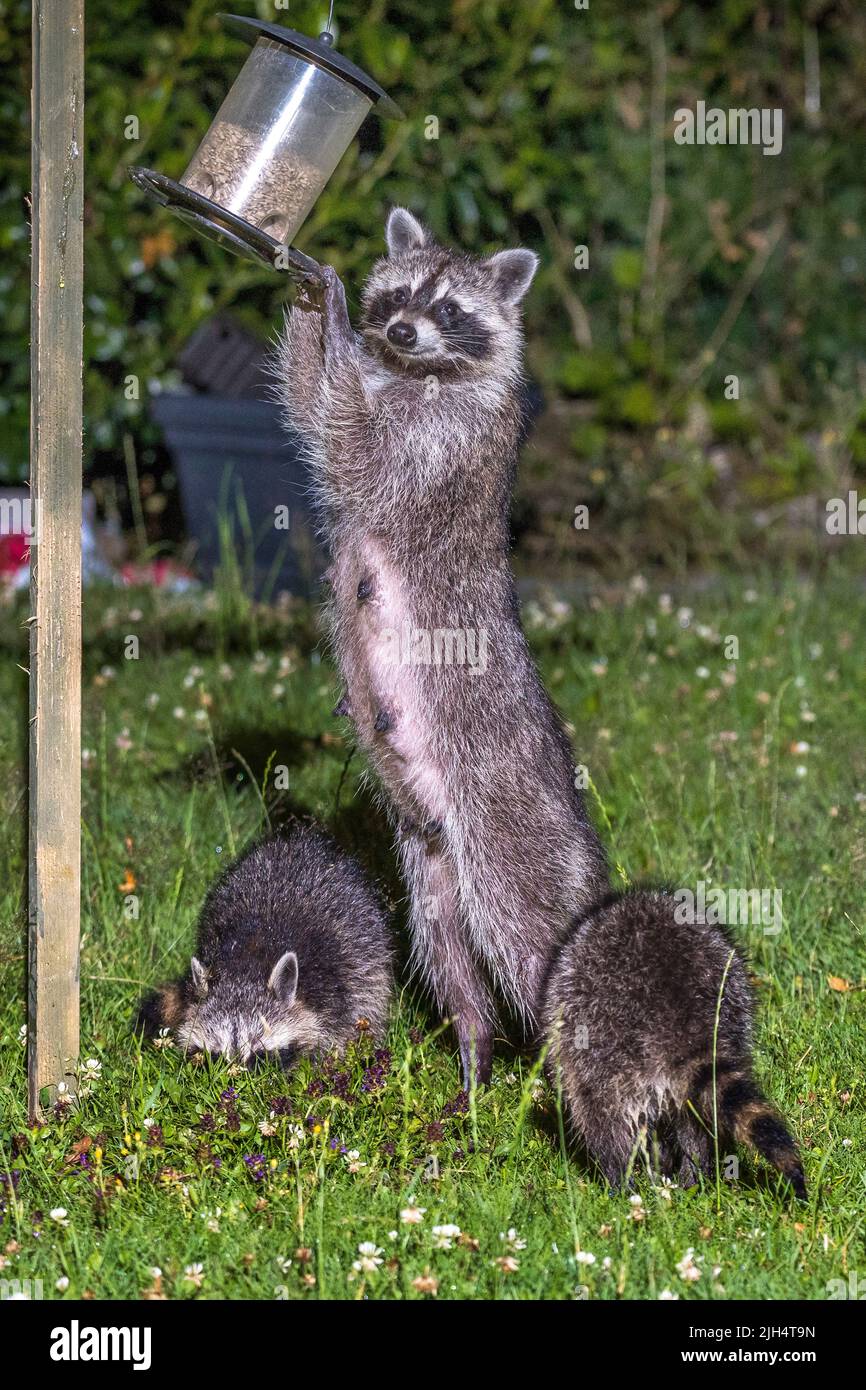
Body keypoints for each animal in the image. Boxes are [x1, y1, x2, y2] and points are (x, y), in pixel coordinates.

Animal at [278, 209, 608, 1085]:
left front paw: (324, 311)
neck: (413, 370)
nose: (396, 329)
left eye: (449, 309)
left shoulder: (445, 443)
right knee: (447, 953)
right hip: (427, 858)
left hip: (506, 823)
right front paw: (303, 300)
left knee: (526, 932)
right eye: (400, 294)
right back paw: (473, 1050)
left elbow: (353, 448)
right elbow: (311, 409)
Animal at [540, 889, 806, 1198]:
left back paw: (619, 1181)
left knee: (600, 1117)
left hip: (599, 1044)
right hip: (734, 1000)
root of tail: (681, 1014)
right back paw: (693, 1173)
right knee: (696, 1122)